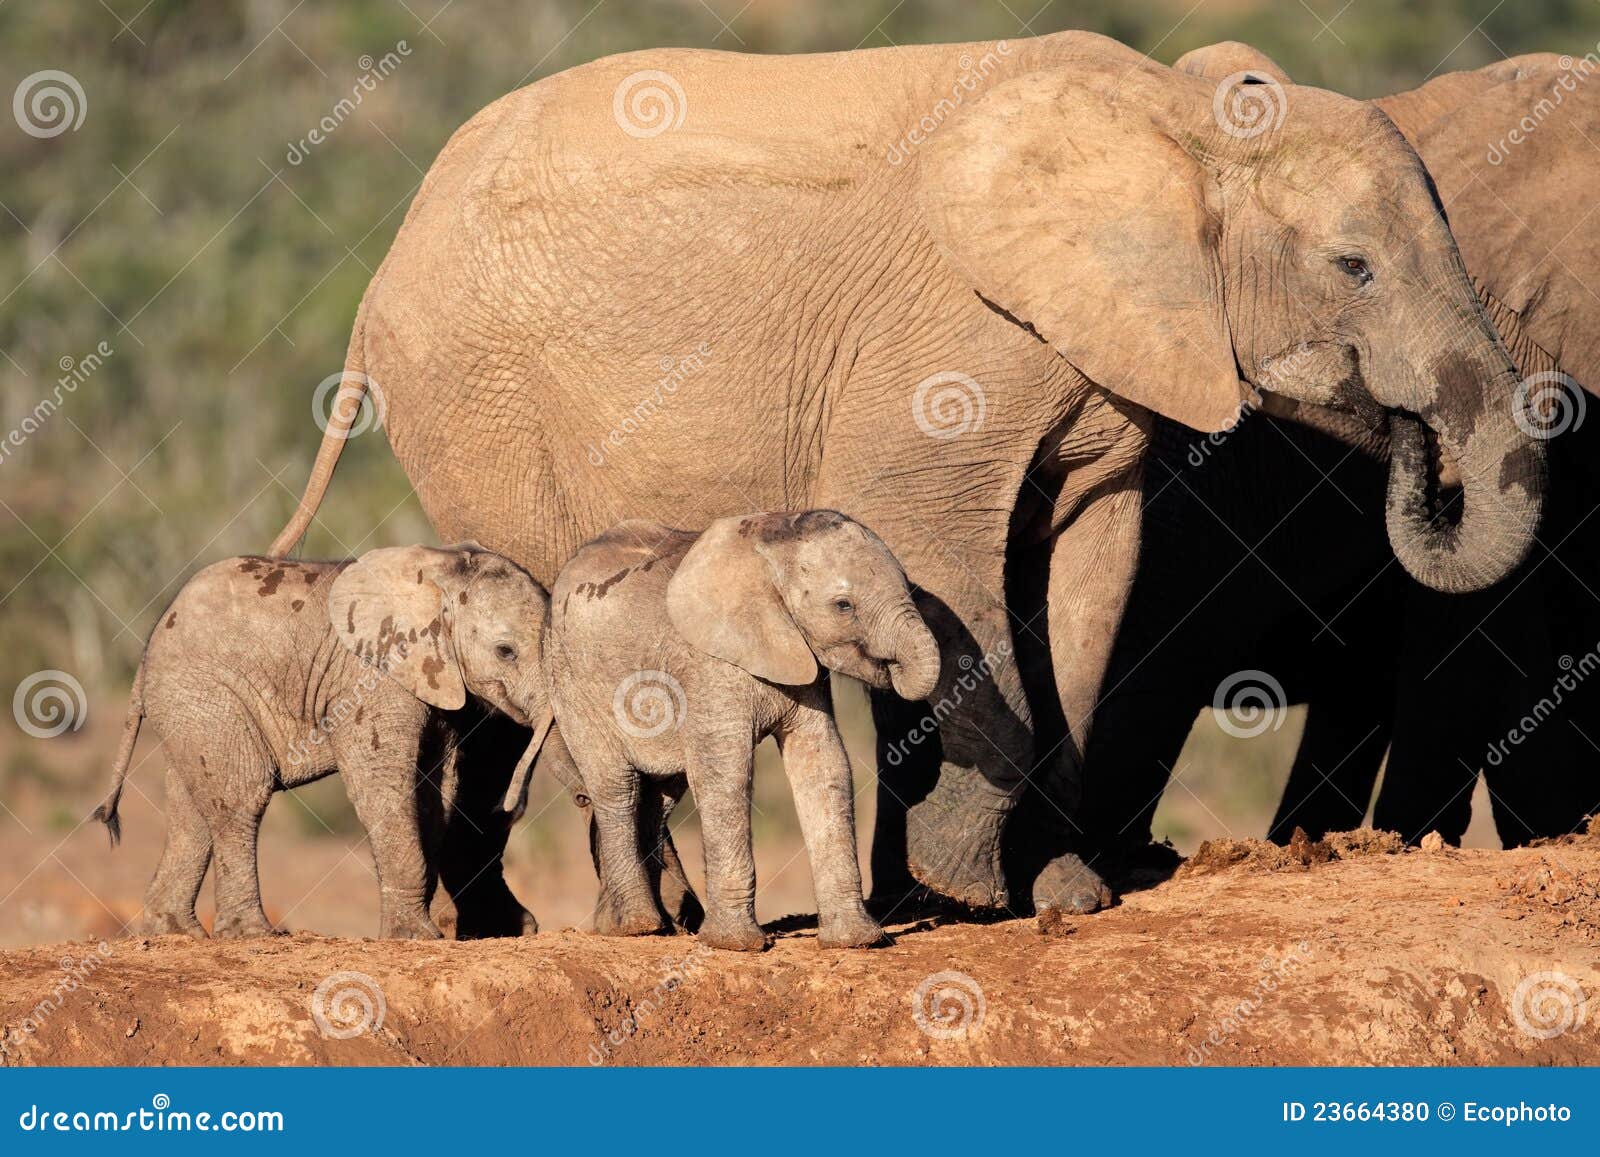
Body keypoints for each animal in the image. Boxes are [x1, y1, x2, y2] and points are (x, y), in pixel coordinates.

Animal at [90, 546, 553, 939]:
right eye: (506, 651)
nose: (509, 806)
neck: (443, 568)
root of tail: (149, 647)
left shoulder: (440, 685)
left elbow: (435, 792)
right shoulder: (370, 679)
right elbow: (382, 787)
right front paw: (415, 937)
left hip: (188, 708)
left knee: (192, 809)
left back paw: (175, 933)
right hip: (203, 691)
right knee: (241, 794)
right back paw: (253, 935)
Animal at [541, 511, 940, 950]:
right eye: (843, 606)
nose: (890, 669)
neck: (771, 547)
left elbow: (824, 762)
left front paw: (857, 941)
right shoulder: (708, 665)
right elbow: (726, 773)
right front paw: (736, 945)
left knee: (660, 795)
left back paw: (659, 926)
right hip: (573, 686)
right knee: (617, 788)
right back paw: (637, 927)